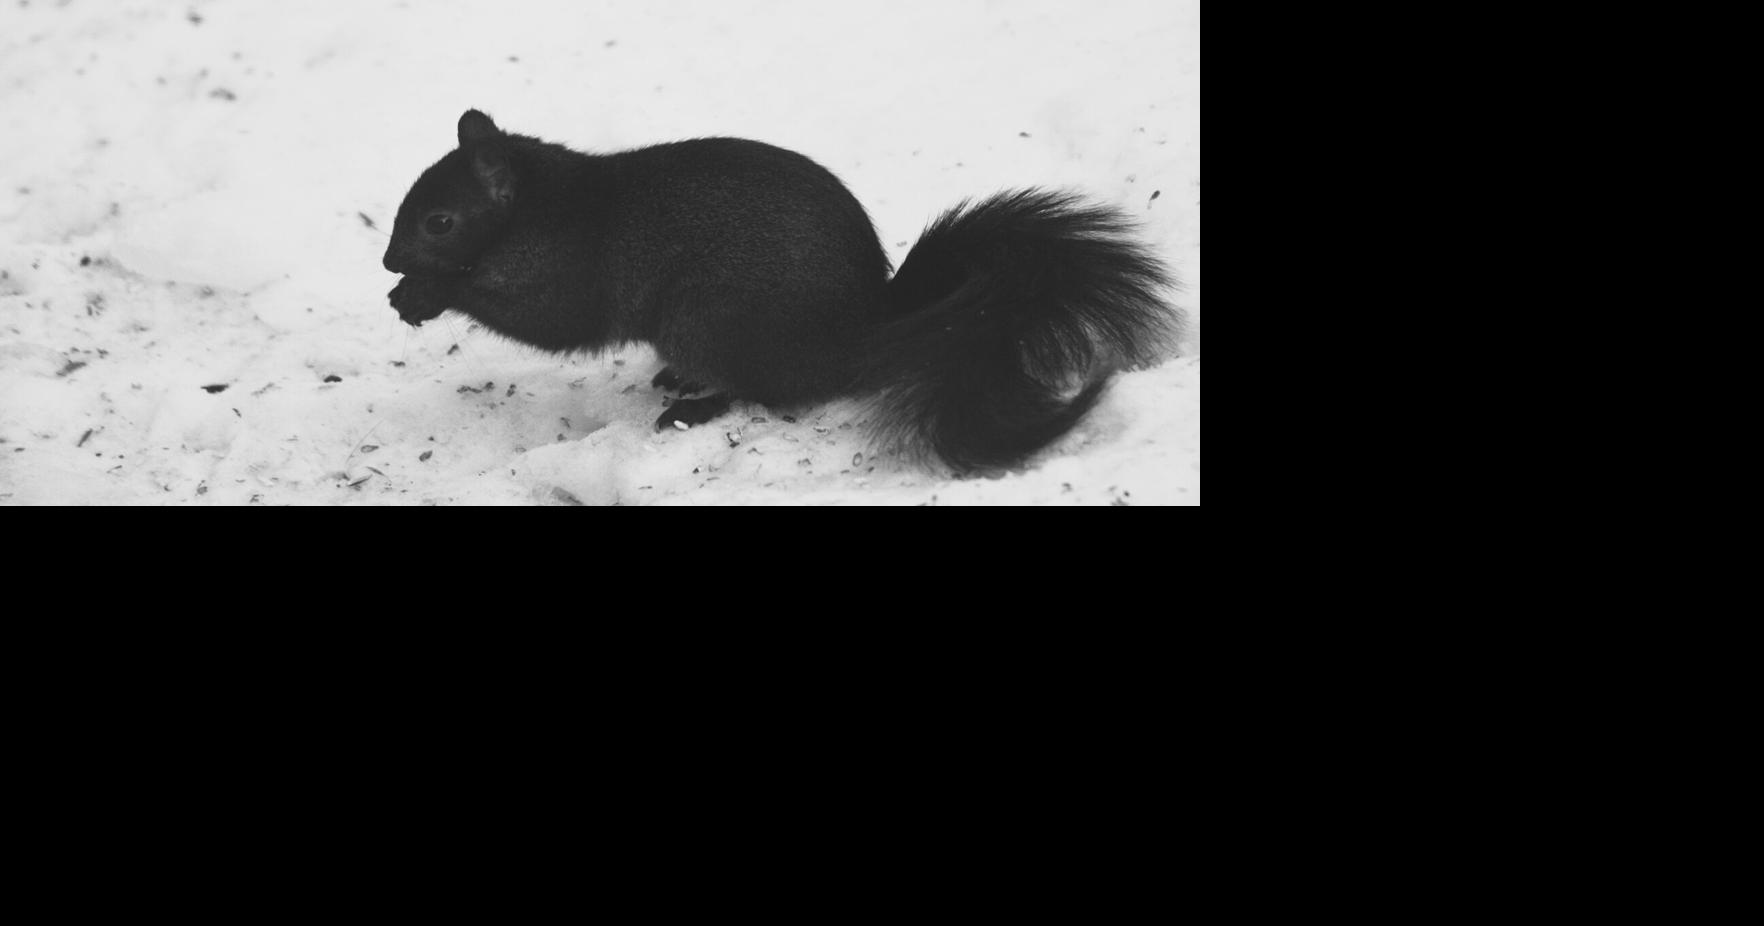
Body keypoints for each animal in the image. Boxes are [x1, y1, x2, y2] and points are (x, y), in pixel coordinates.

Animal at [385, 110, 1178, 469]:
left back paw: (696, 405)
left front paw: (428, 293)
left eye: (438, 221)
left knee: (764, 390)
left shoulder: (567, 269)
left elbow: (551, 319)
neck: (538, 207)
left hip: (709, 317)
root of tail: (864, 335)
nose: (391, 261)